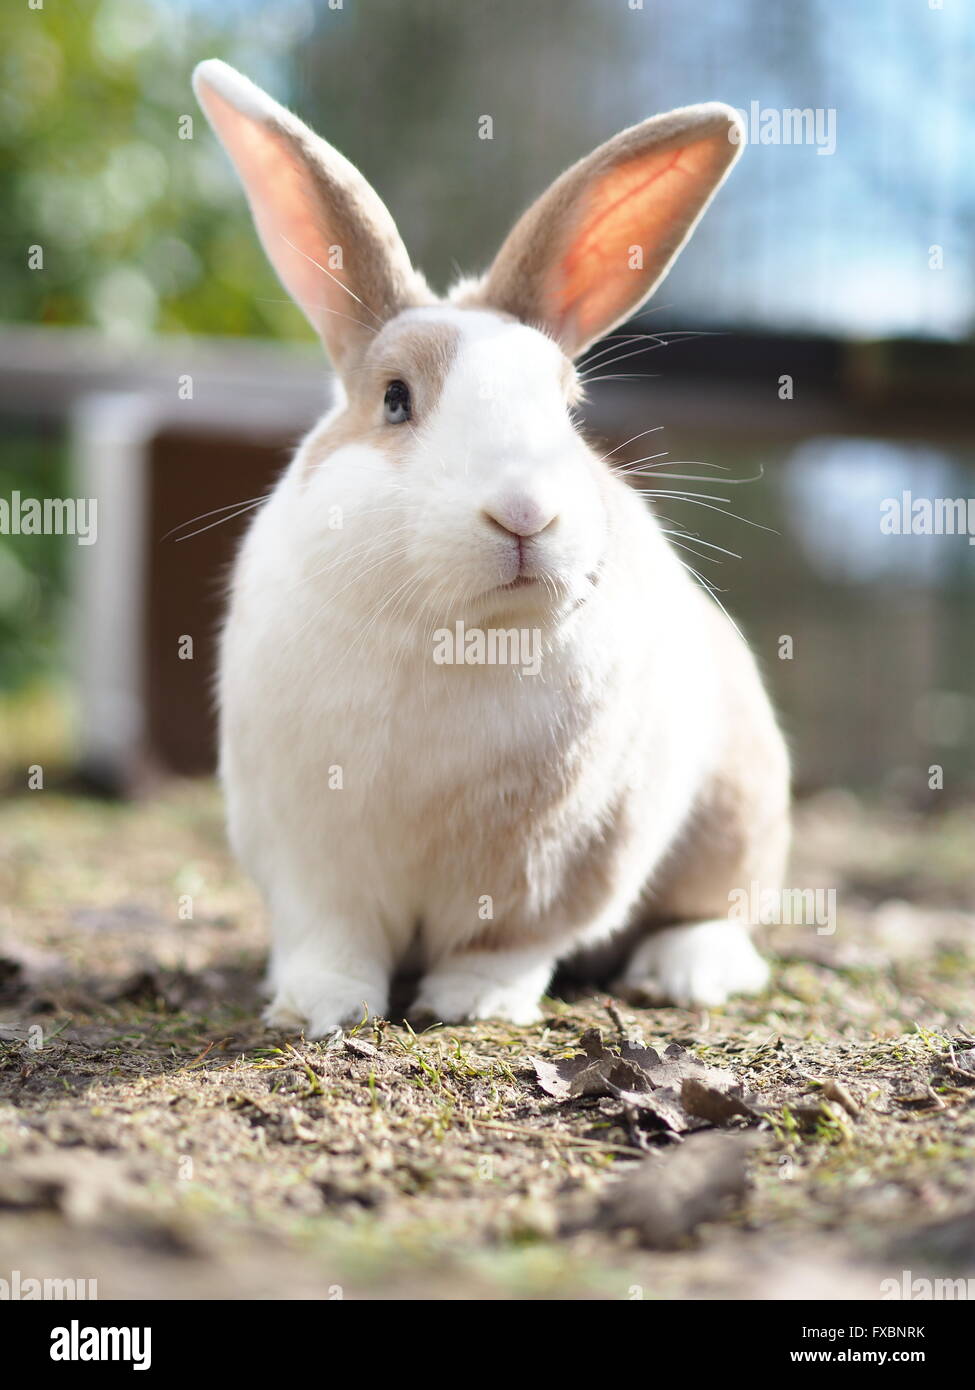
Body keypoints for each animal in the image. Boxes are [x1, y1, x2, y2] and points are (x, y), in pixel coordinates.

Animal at [193, 60, 790, 1036]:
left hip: (737, 809)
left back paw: (683, 972)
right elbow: (331, 939)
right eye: (395, 399)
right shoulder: (311, 863)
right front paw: (319, 1006)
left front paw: (472, 1004)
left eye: (569, 408)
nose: (523, 513)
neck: (450, 631)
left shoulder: (561, 860)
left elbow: (508, 940)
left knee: (714, 910)